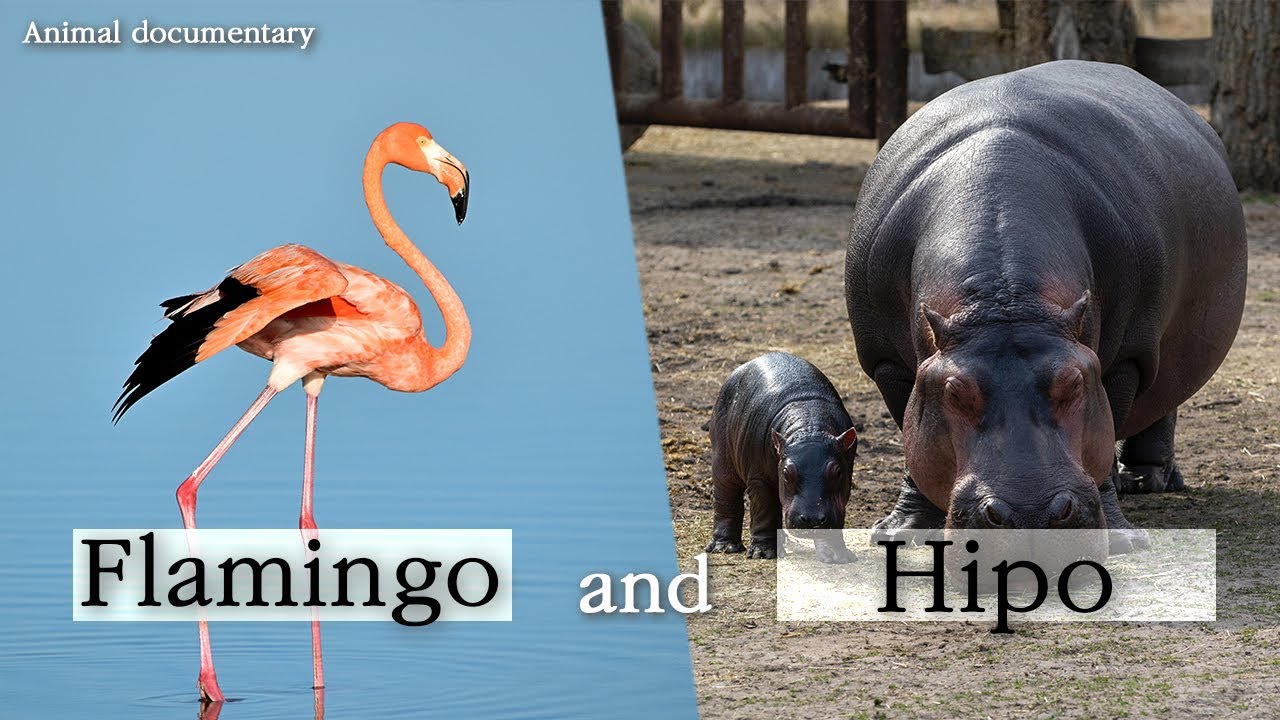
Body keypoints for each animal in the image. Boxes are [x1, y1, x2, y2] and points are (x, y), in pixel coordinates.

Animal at [706, 352, 859, 563]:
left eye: (837, 472)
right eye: (786, 472)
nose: (812, 519)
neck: (810, 425)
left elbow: (836, 514)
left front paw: (837, 555)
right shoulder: (759, 478)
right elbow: (765, 511)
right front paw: (764, 553)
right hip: (722, 458)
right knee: (726, 495)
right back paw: (724, 547)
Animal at [843, 61, 1246, 551]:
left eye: (1073, 383)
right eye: (954, 391)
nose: (1029, 512)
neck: (1005, 301)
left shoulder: (1124, 359)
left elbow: (1105, 434)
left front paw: (1123, 537)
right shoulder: (887, 362)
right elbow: (913, 438)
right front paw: (901, 530)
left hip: (1162, 343)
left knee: (1163, 397)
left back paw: (1146, 481)